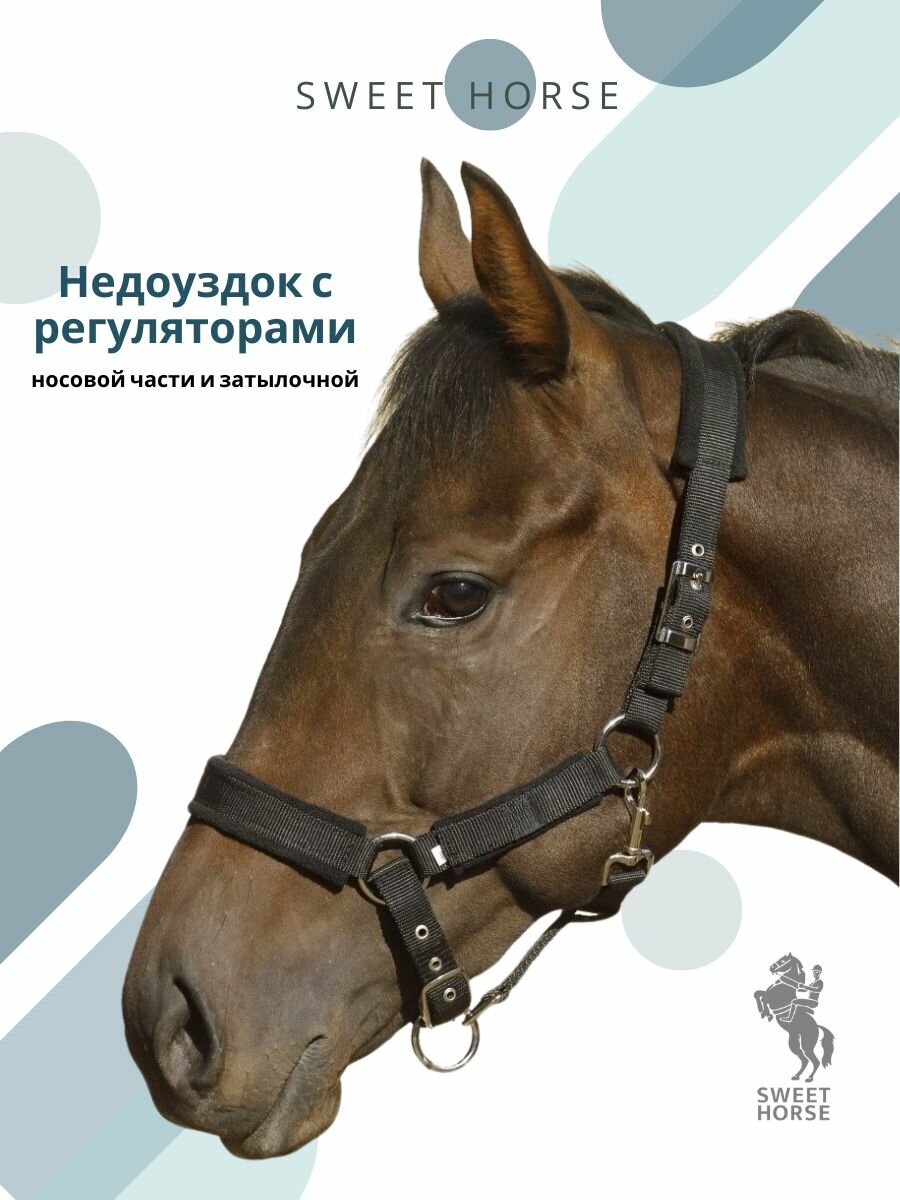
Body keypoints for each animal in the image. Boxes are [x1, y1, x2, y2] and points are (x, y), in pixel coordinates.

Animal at [754, 953, 835, 1081]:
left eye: (783, 960)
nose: (771, 968)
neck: (785, 985)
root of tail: (817, 1027)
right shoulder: (766, 994)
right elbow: (758, 994)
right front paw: (764, 1013)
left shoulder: (771, 998)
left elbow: (763, 997)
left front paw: (766, 1014)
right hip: (794, 1043)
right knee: (805, 1060)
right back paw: (796, 1076)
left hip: (807, 1045)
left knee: (815, 1061)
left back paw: (809, 1078)